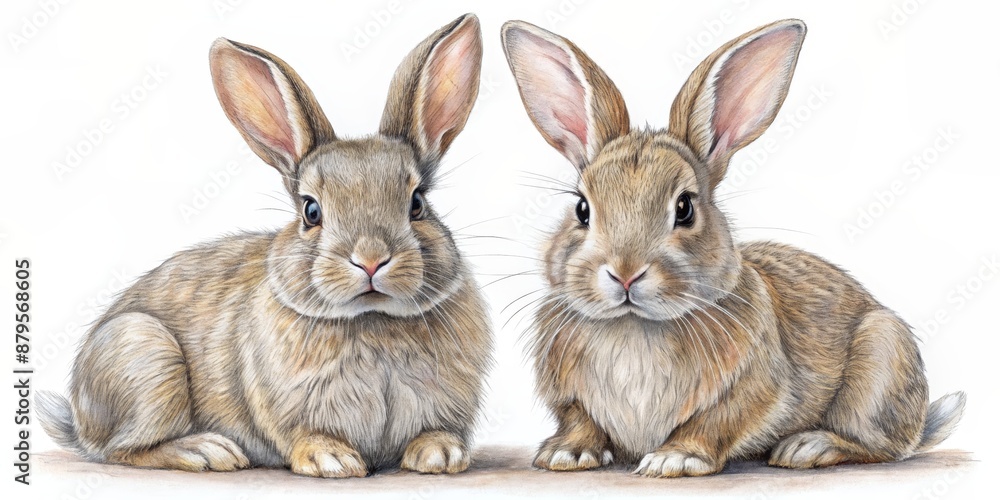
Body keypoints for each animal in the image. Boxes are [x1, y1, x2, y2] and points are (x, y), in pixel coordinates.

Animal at [36, 13, 491, 477]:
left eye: (417, 204)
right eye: (311, 211)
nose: (369, 260)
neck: (372, 319)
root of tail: (81, 420)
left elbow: (433, 431)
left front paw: (440, 453)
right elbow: (308, 436)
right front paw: (332, 459)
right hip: (147, 361)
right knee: (123, 449)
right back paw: (205, 451)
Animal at [500, 18, 966, 478]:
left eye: (685, 207)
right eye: (582, 208)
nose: (626, 273)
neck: (635, 326)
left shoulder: (754, 388)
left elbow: (716, 421)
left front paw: (674, 458)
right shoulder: (569, 397)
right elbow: (580, 420)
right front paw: (567, 454)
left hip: (880, 362)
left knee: (881, 445)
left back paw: (808, 447)